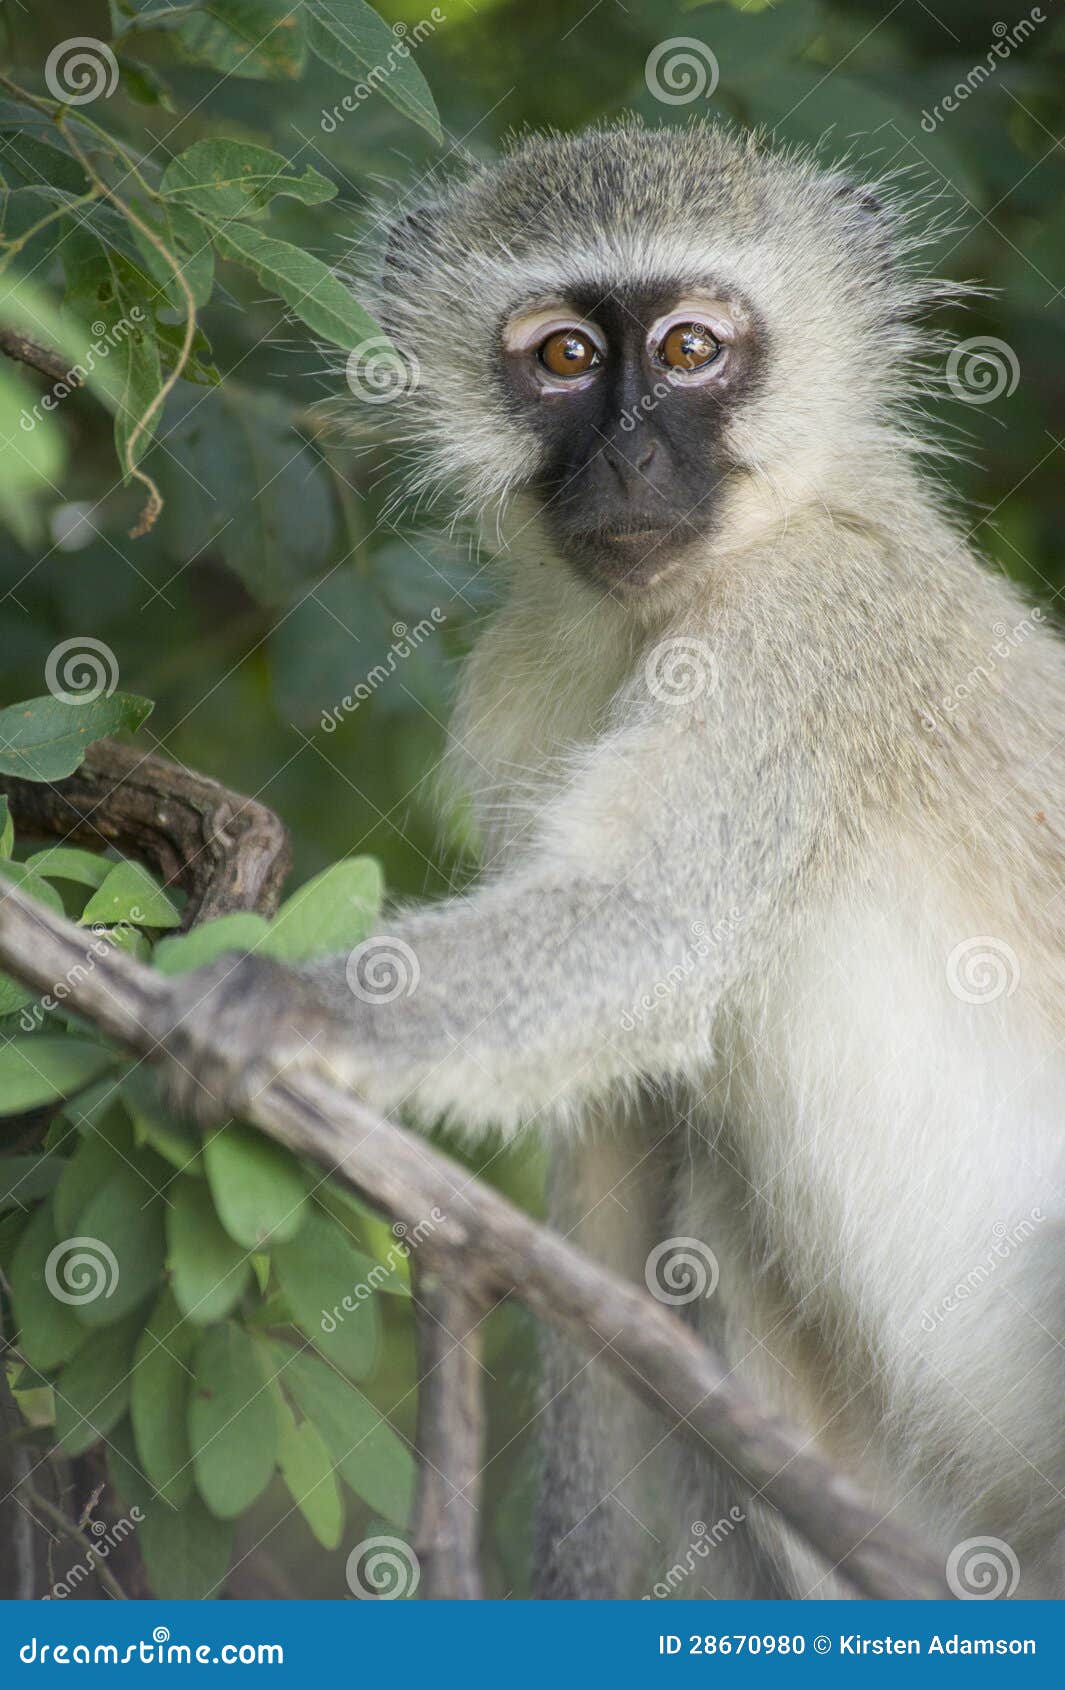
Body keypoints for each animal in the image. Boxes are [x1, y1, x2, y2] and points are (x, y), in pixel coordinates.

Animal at [164, 119, 1065, 1600]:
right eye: (567, 357)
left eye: (693, 349)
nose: (633, 460)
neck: (669, 609)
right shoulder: (524, 685)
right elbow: (609, 1155)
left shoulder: (809, 629)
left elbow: (647, 923)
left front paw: (286, 1002)